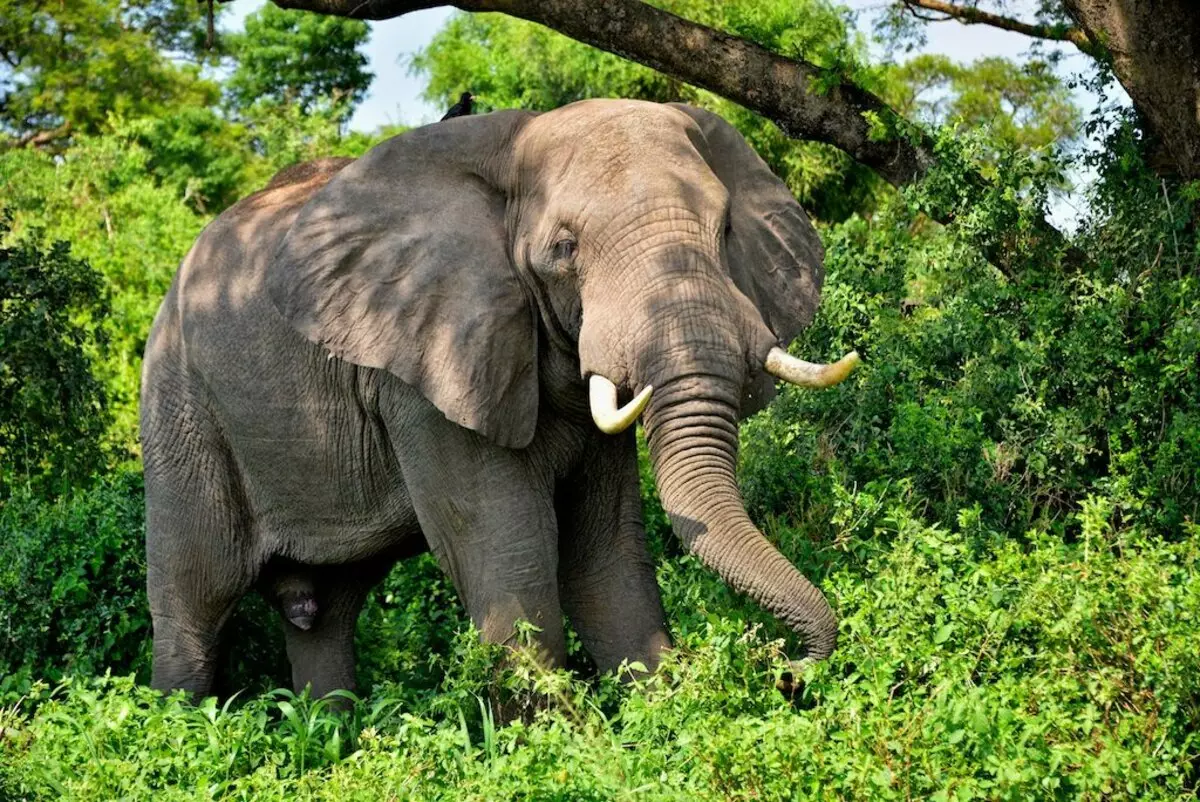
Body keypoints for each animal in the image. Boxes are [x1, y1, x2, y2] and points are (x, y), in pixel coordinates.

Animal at [140, 97, 859, 696]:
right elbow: (511, 557)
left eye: (728, 227)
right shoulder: (428, 364)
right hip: (180, 403)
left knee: (326, 615)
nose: (782, 664)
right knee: (195, 604)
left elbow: (604, 555)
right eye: (564, 249)